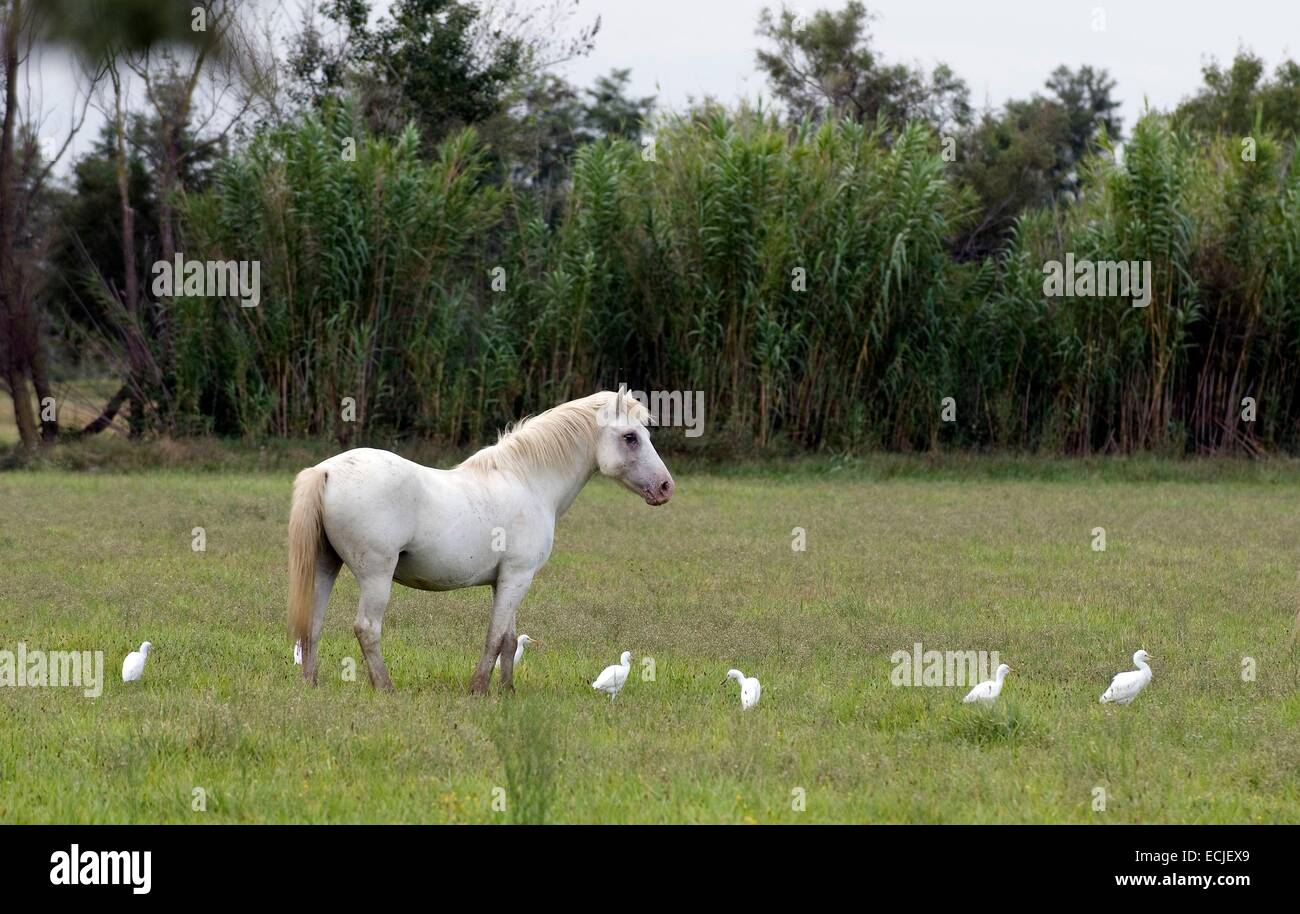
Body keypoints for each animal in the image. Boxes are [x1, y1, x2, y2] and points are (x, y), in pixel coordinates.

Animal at [287, 389, 674, 694]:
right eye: (630, 437)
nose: (666, 487)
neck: (527, 481)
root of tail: (326, 470)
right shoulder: (518, 577)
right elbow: (495, 637)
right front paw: (479, 689)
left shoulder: (506, 581)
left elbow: (508, 641)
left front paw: (508, 691)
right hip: (376, 576)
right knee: (367, 628)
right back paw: (385, 687)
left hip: (326, 566)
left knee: (313, 625)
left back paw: (311, 684)